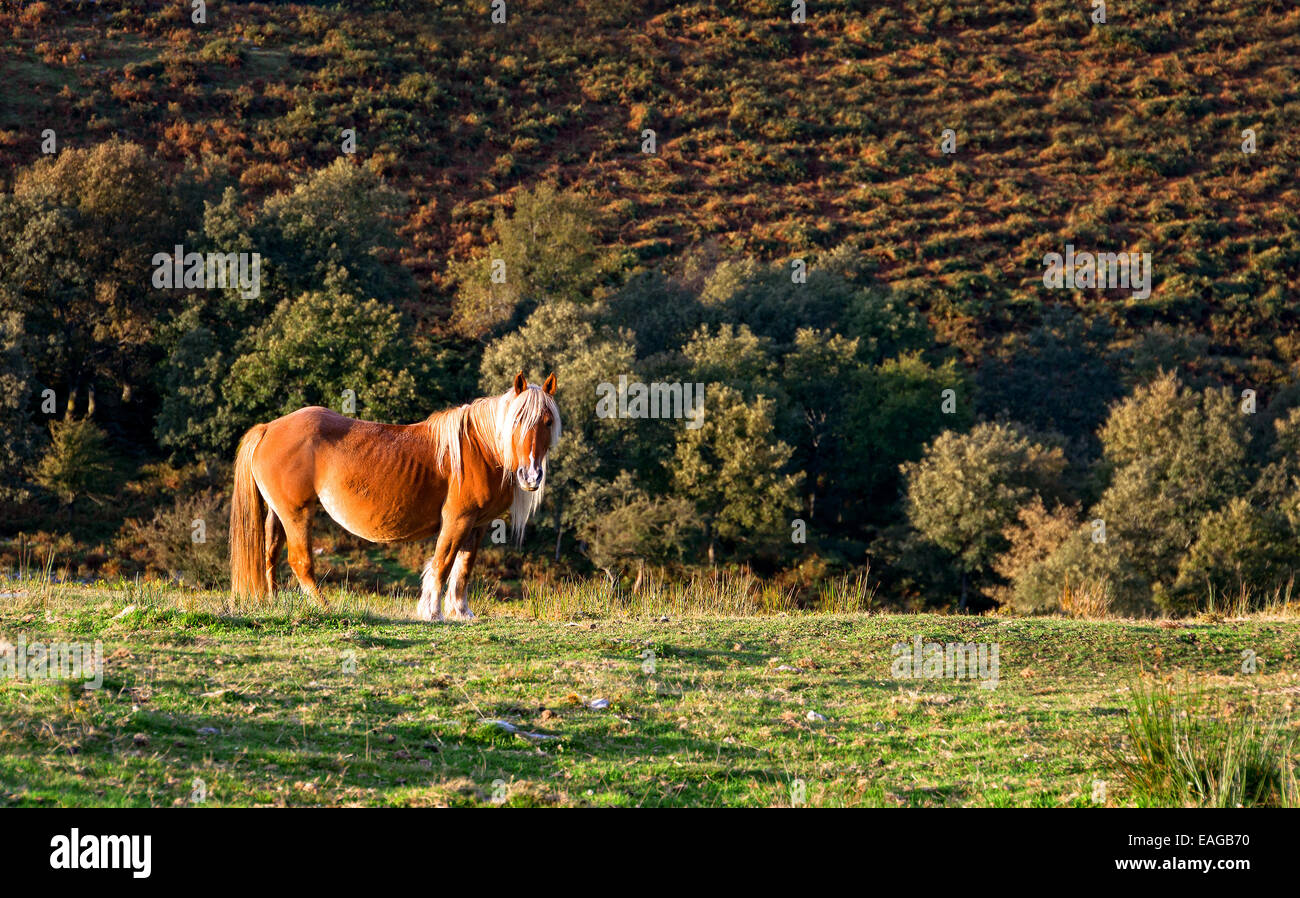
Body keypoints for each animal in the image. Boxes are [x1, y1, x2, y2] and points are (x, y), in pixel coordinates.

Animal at [229, 372, 560, 620]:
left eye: (547, 421)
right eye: (517, 420)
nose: (531, 476)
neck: (480, 447)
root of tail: (268, 428)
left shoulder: (476, 525)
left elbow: (463, 569)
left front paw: (462, 613)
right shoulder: (457, 520)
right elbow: (442, 563)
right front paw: (432, 612)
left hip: (278, 513)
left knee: (270, 555)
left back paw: (272, 604)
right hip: (297, 513)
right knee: (300, 562)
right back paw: (325, 608)